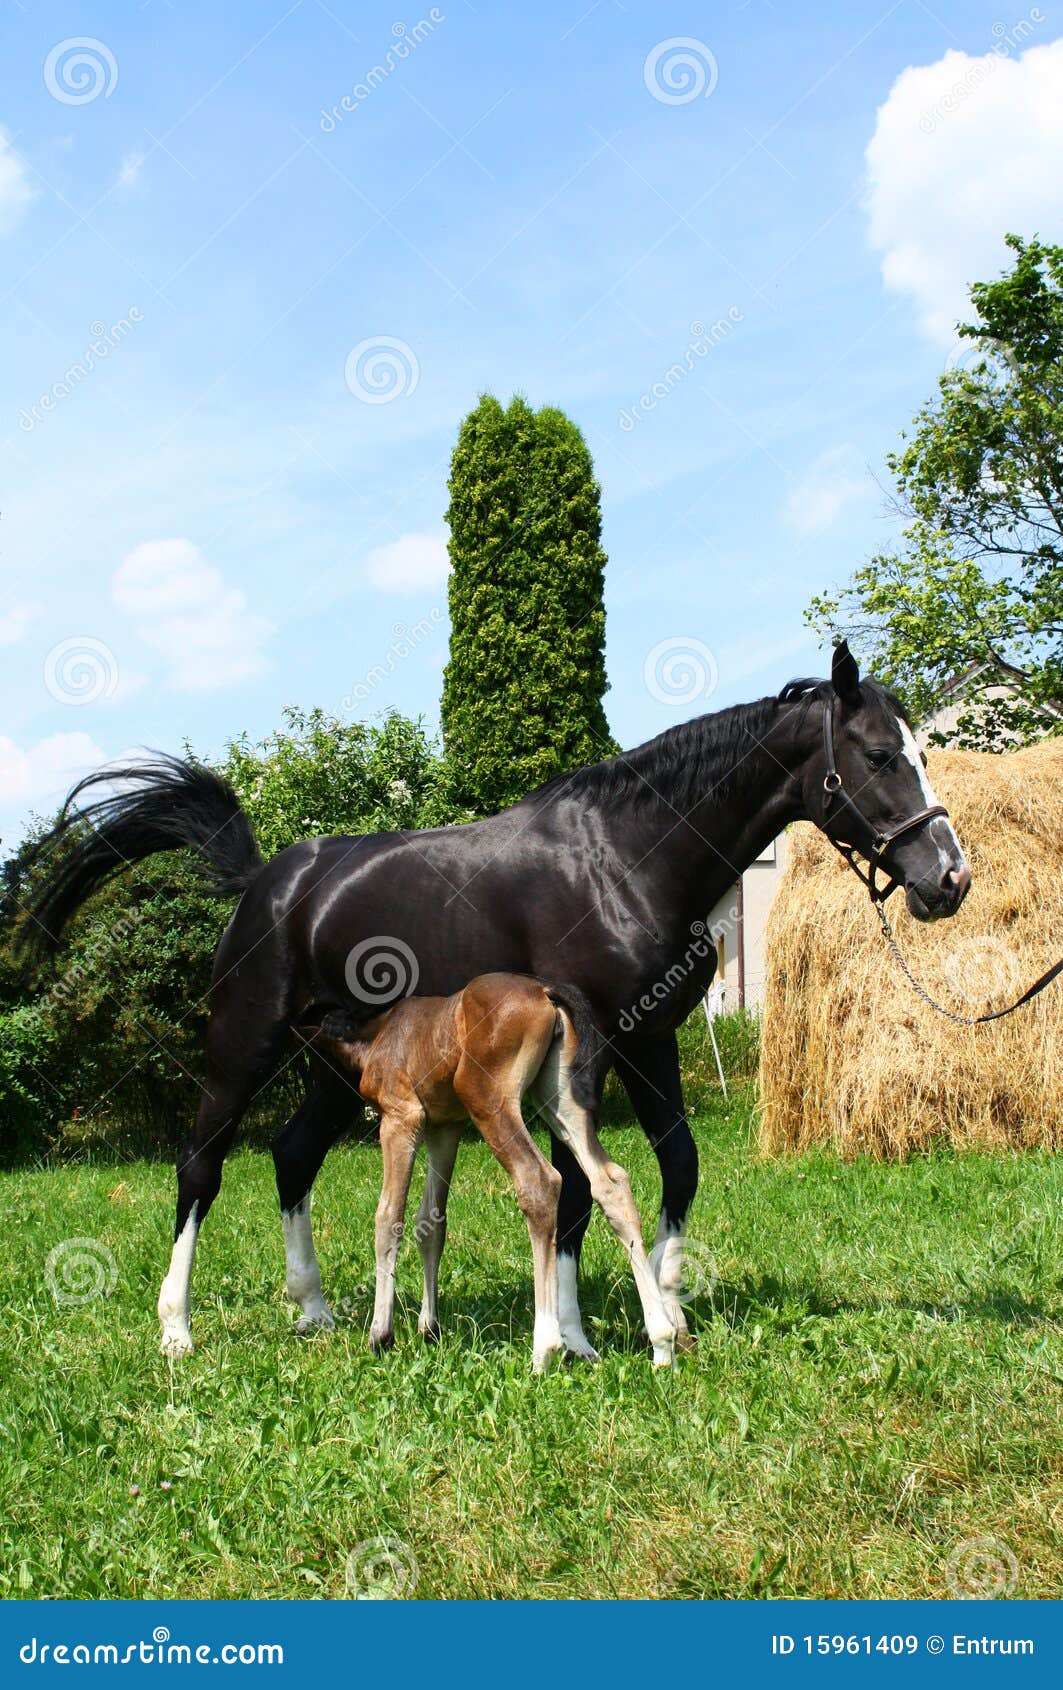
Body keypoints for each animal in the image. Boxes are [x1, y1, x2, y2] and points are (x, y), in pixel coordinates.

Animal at [301, 974, 677, 1371]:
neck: (376, 1034)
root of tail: (544, 992)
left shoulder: (401, 1118)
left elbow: (389, 1217)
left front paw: (381, 1335)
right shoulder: (444, 1129)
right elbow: (431, 1221)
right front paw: (429, 1329)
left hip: (487, 1097)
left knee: (538, 1180)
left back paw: (545, 1350)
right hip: (557, 1098)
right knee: (611, 1183)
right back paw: (662, 1344)